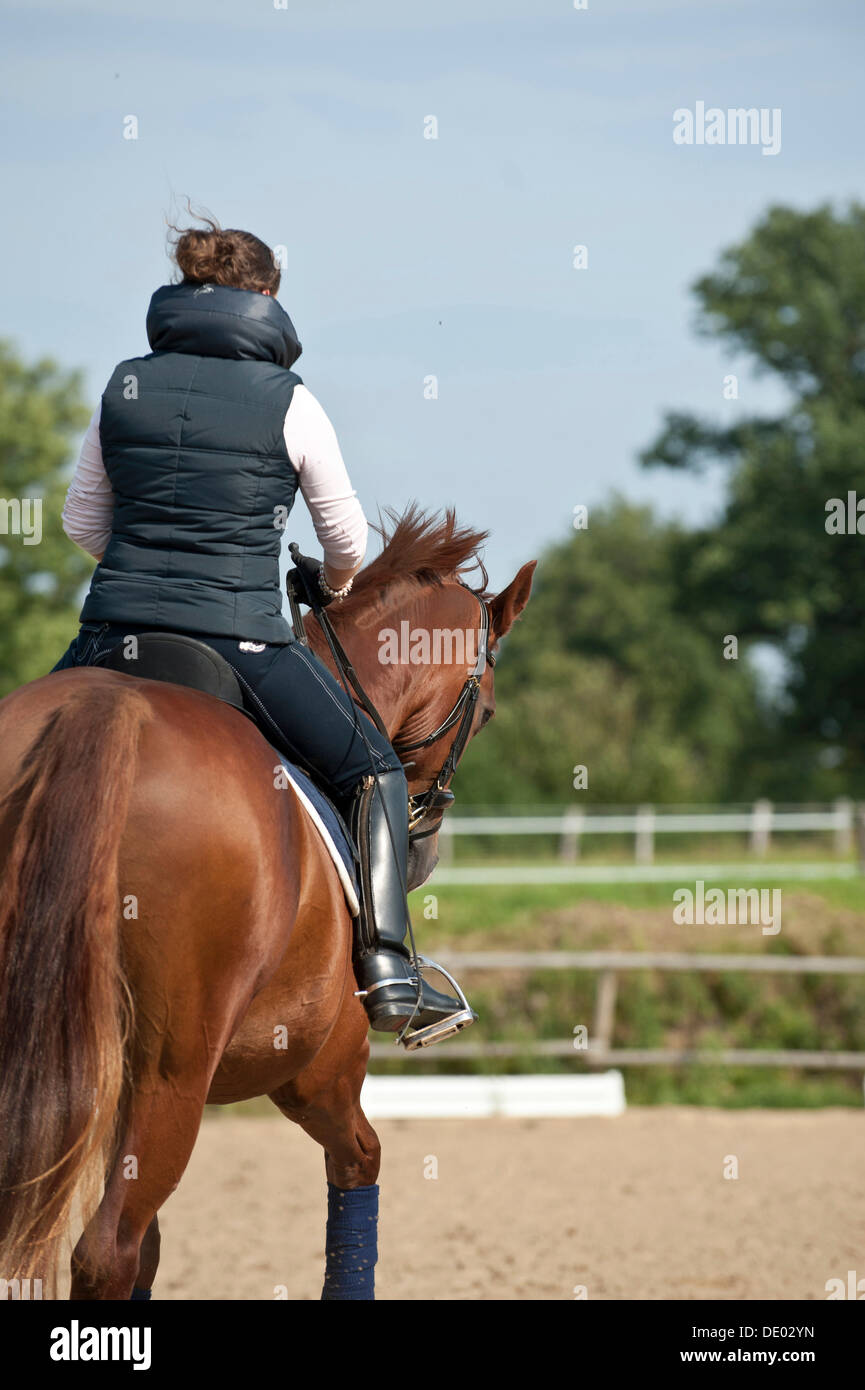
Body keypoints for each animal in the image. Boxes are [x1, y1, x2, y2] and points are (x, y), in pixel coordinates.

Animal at [0, 507, 535, 1299]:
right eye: (489, 713)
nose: (426, 850)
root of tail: (103, 710)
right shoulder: (321, 1073)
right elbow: (361, 1161)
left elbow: (154, 1249)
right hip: (173, 1076)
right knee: (106, 1251)